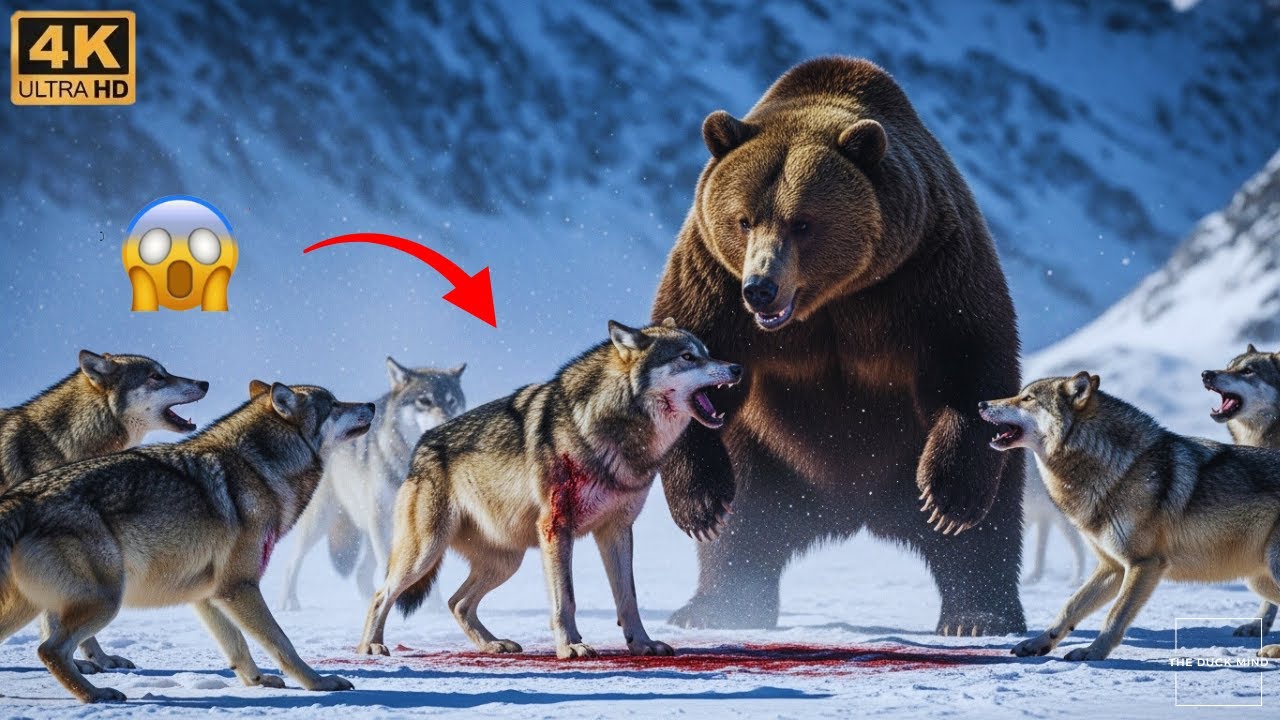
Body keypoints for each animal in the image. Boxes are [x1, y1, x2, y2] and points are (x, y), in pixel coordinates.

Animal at [279, 358, 465, 611]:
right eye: (424, 401)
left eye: (451, 401)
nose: (447, 424)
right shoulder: (380, 521)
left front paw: (433, 609)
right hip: (320, 521)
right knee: (291, 563)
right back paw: (288, 605)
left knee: (360, 575)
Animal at [356, 319, 741, 659]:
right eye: (687, 357)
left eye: (707, 353)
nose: (737, 368)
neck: (616, 428)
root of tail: (420, 446)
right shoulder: (556, 528)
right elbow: (565, 599)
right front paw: (571, 647)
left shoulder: (617, 530)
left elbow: (628, 599)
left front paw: (643, 644)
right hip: (424, 553)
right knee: (381, 594)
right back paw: (371, 647)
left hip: (507, 561)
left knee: (457, 602)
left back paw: (494, 645)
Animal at [652, 56, 1026, 635]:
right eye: (743, 218)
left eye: (803, 222)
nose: (760, 287)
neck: (830, 300)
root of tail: (856, 511)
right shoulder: (711, 279)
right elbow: (684, 374)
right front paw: (700, 505)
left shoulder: (929, 274)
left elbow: (967, 364)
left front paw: (947, 498)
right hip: (769, 458)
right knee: (744, 526)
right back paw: (716, 606)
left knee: (992, 526)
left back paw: (980, 612)